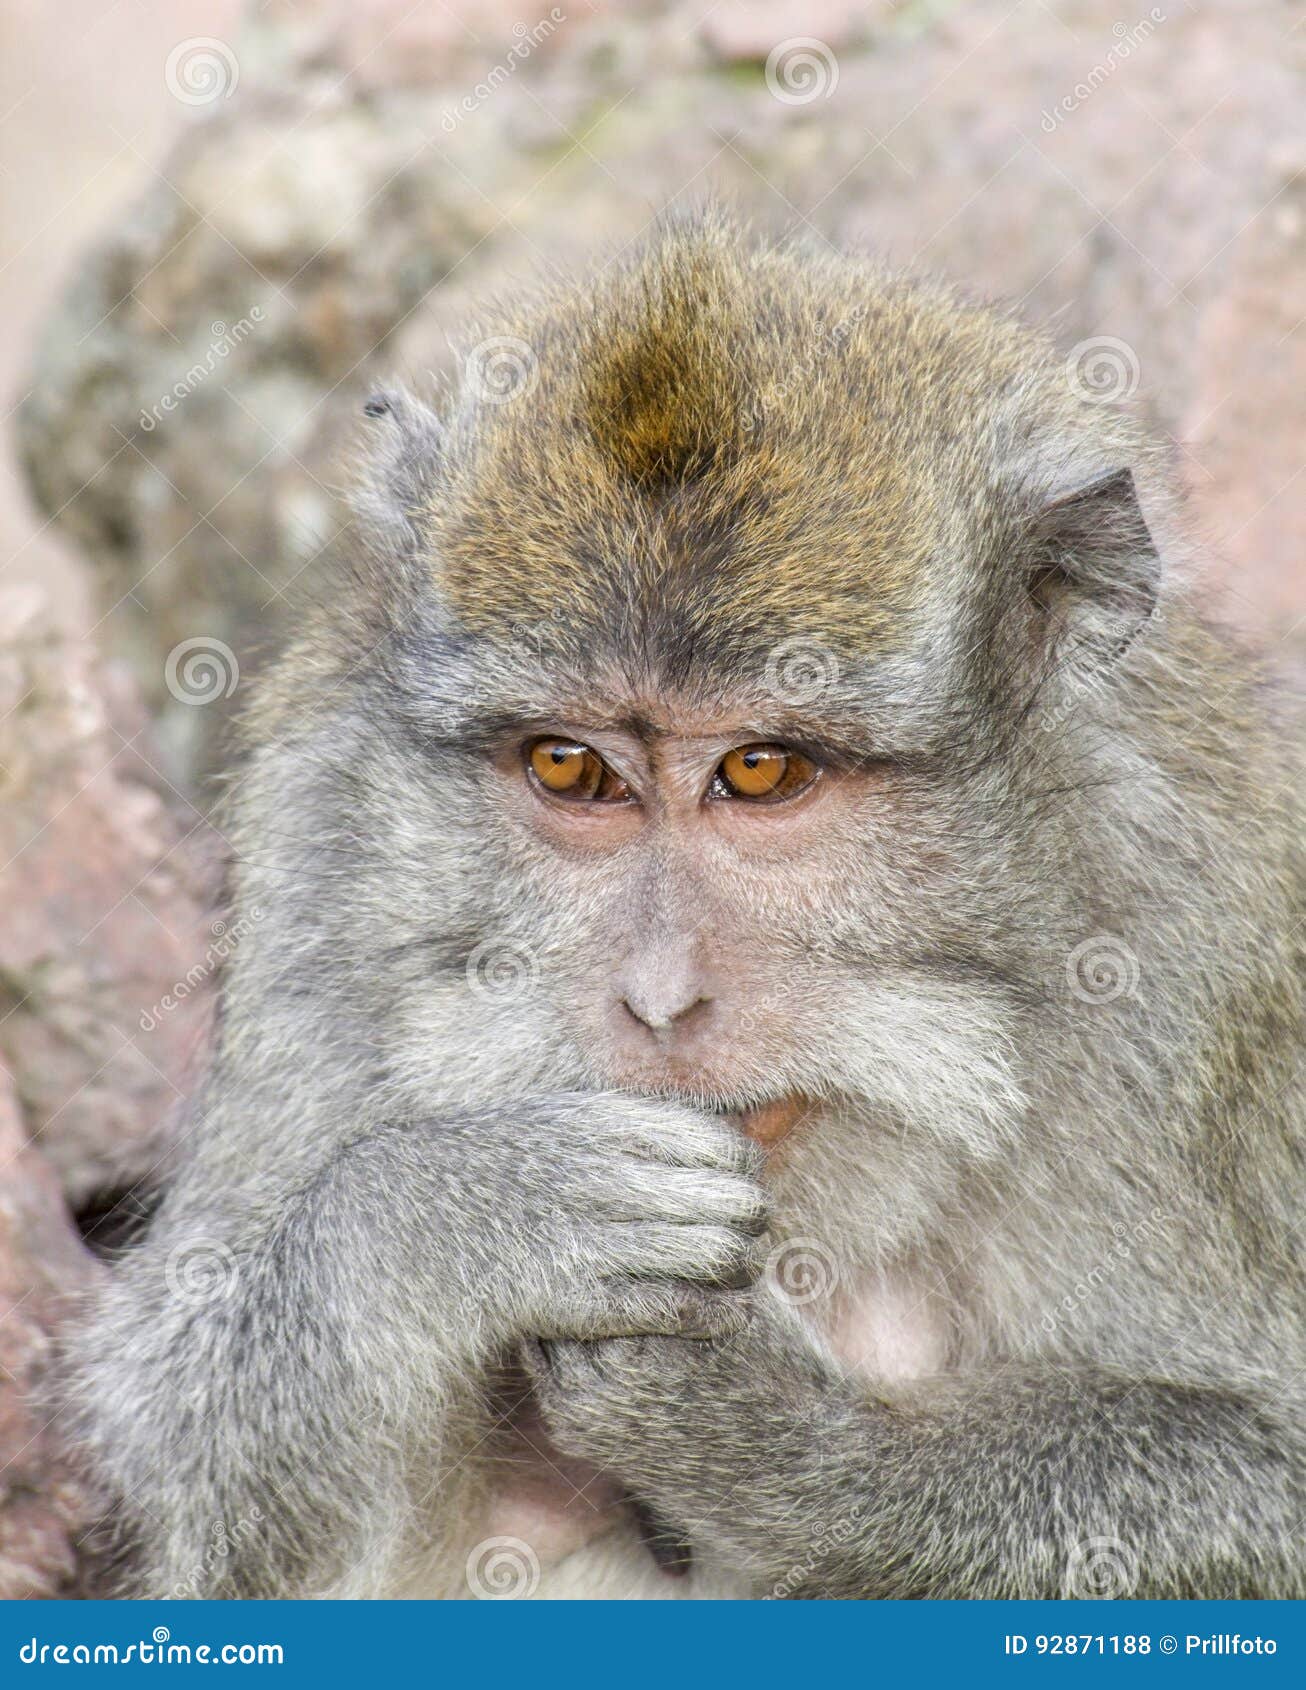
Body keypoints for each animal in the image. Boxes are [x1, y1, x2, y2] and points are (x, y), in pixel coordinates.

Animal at [63, 211, 1304, 1599]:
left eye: (763, 769)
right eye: (571, 768)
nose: (658, 1002)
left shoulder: (1184, 936)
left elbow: (1265, 1463)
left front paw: (783, 1441)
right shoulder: (315, 845)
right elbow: (189, 1457)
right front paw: (451, 1218)